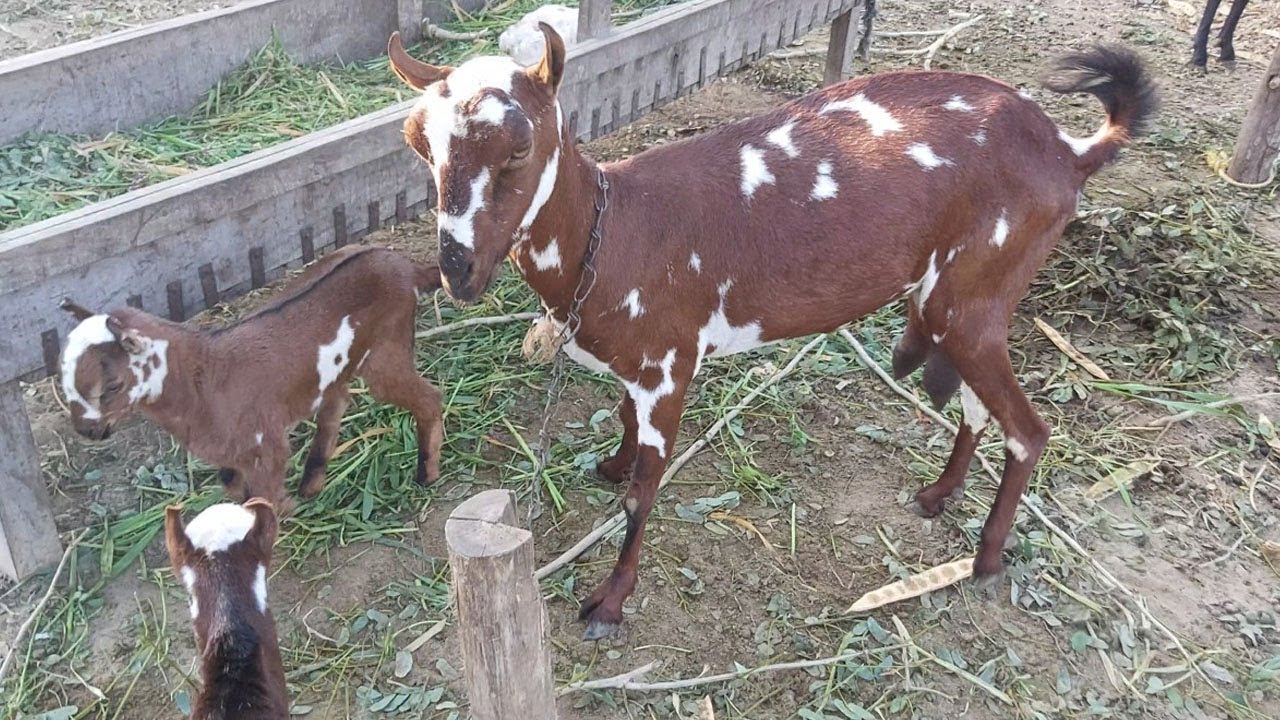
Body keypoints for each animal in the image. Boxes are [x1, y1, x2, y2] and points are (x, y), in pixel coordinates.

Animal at [59, 245, 446, 514]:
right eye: (64, 380)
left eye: (112, 386)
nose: (87, 430)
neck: (203, 380)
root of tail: (406, 267)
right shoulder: (233, 452)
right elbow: (232, 483)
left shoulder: (265, 444)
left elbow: (263, 500)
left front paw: (277, 513)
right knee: (336, 401)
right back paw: (311, 482)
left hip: (387, 348)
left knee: (428, 397)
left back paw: (425, 474)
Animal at [387, 26, 1157, 639]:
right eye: (418, 143)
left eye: (519, 147)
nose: (457, 268)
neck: (615, 233)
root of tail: (1068, 152)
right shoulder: (640, 370)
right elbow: (622, 421)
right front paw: (611, 463)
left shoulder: (671, 363)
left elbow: (644, 494)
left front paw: (609, 602)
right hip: (966, 302)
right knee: (978, 403)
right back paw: (938, 497)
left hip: (976, 291)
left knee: (1029, 429)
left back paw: (987, 560)